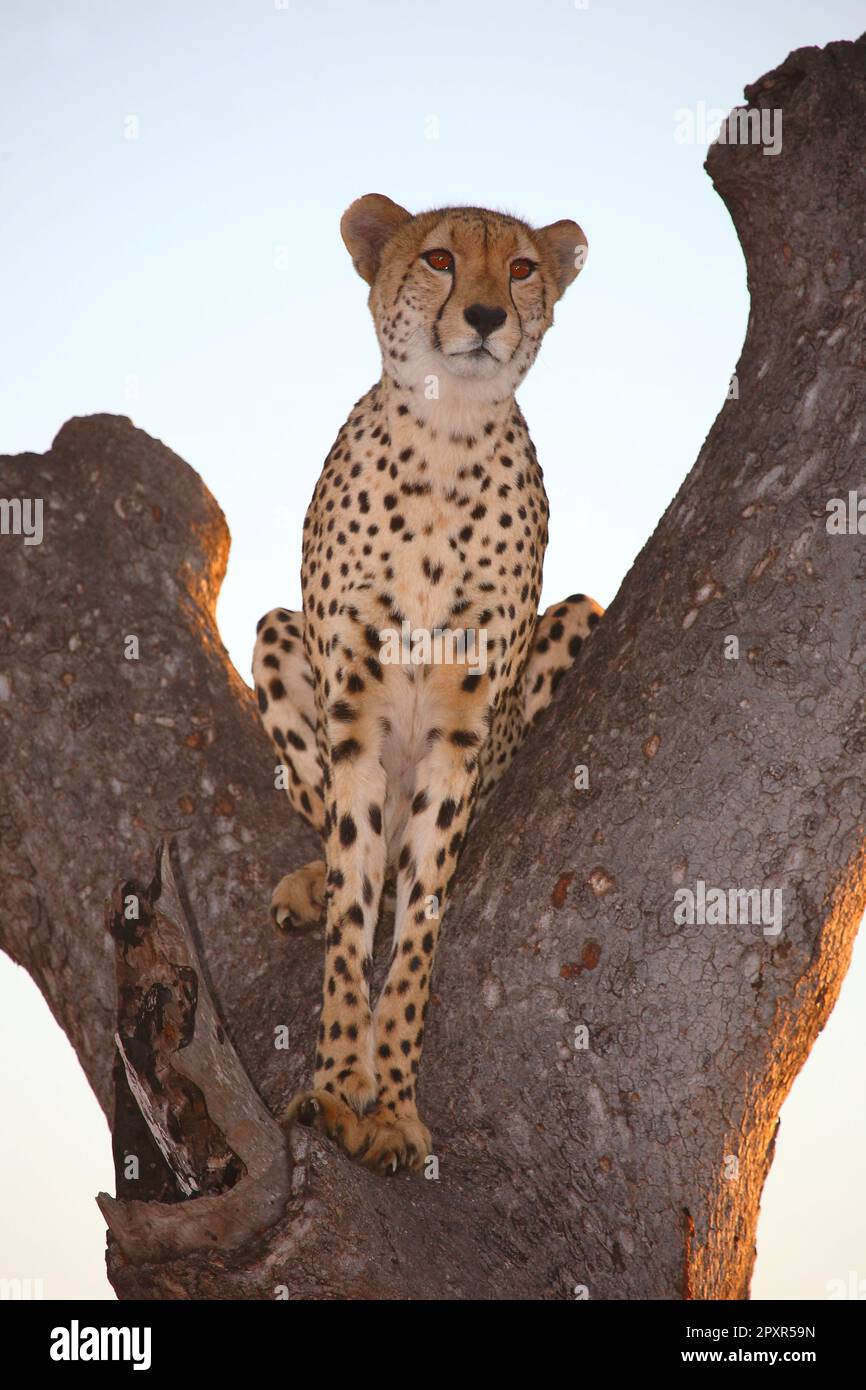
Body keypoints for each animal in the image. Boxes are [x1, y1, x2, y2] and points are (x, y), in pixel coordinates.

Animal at [252, 193, 602, 1175]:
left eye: (522, 269)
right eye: (440, 258)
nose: (484, 317)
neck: (447, 443)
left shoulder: (459, 736)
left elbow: (417, 931)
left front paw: (396, 1103)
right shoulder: (355, 717)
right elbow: (352, 920)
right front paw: (342, 1084)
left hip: (580, 615)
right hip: (275, 635)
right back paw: (312, 883)